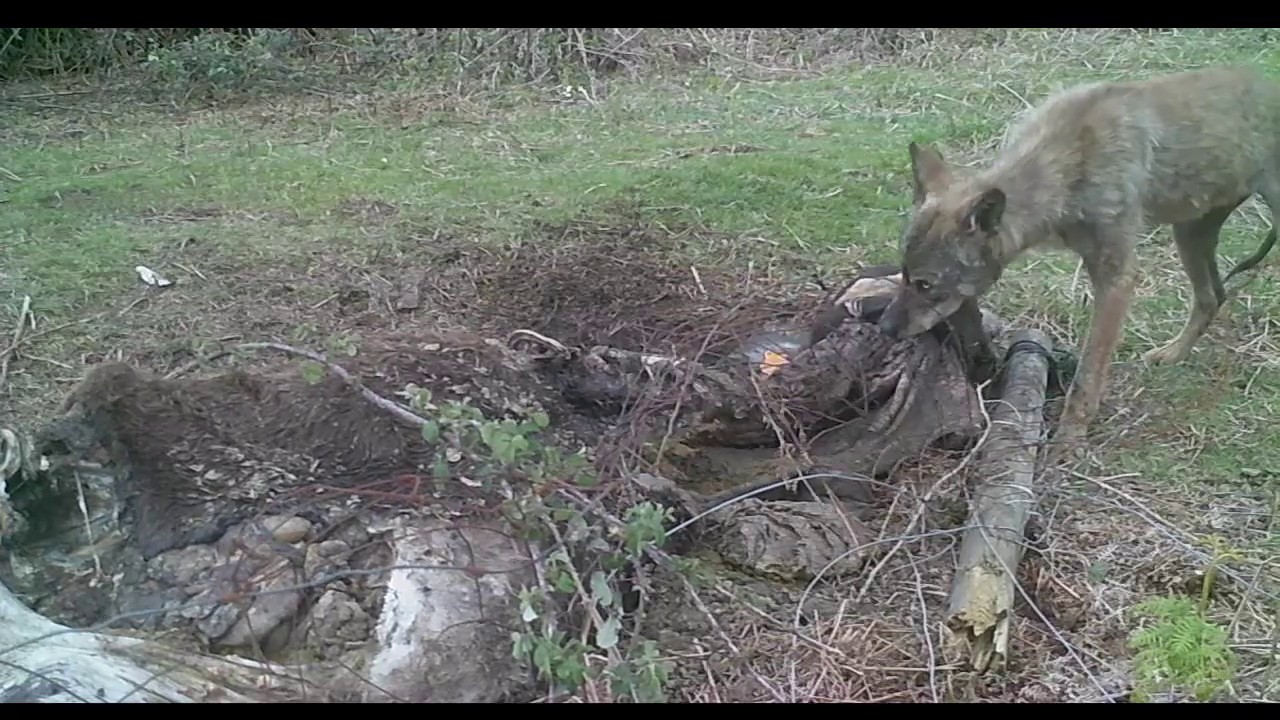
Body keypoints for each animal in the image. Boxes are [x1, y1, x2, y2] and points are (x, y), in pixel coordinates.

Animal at [877, 66, 1280, 448]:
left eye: (925, 285)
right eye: (904, 275)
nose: (884, 328)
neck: (1069, 160)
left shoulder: (1116, 278)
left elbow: (1088, 376)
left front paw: (1070, 439)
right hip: (1191, 235)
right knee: (1213, 296)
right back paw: (1171, 355)